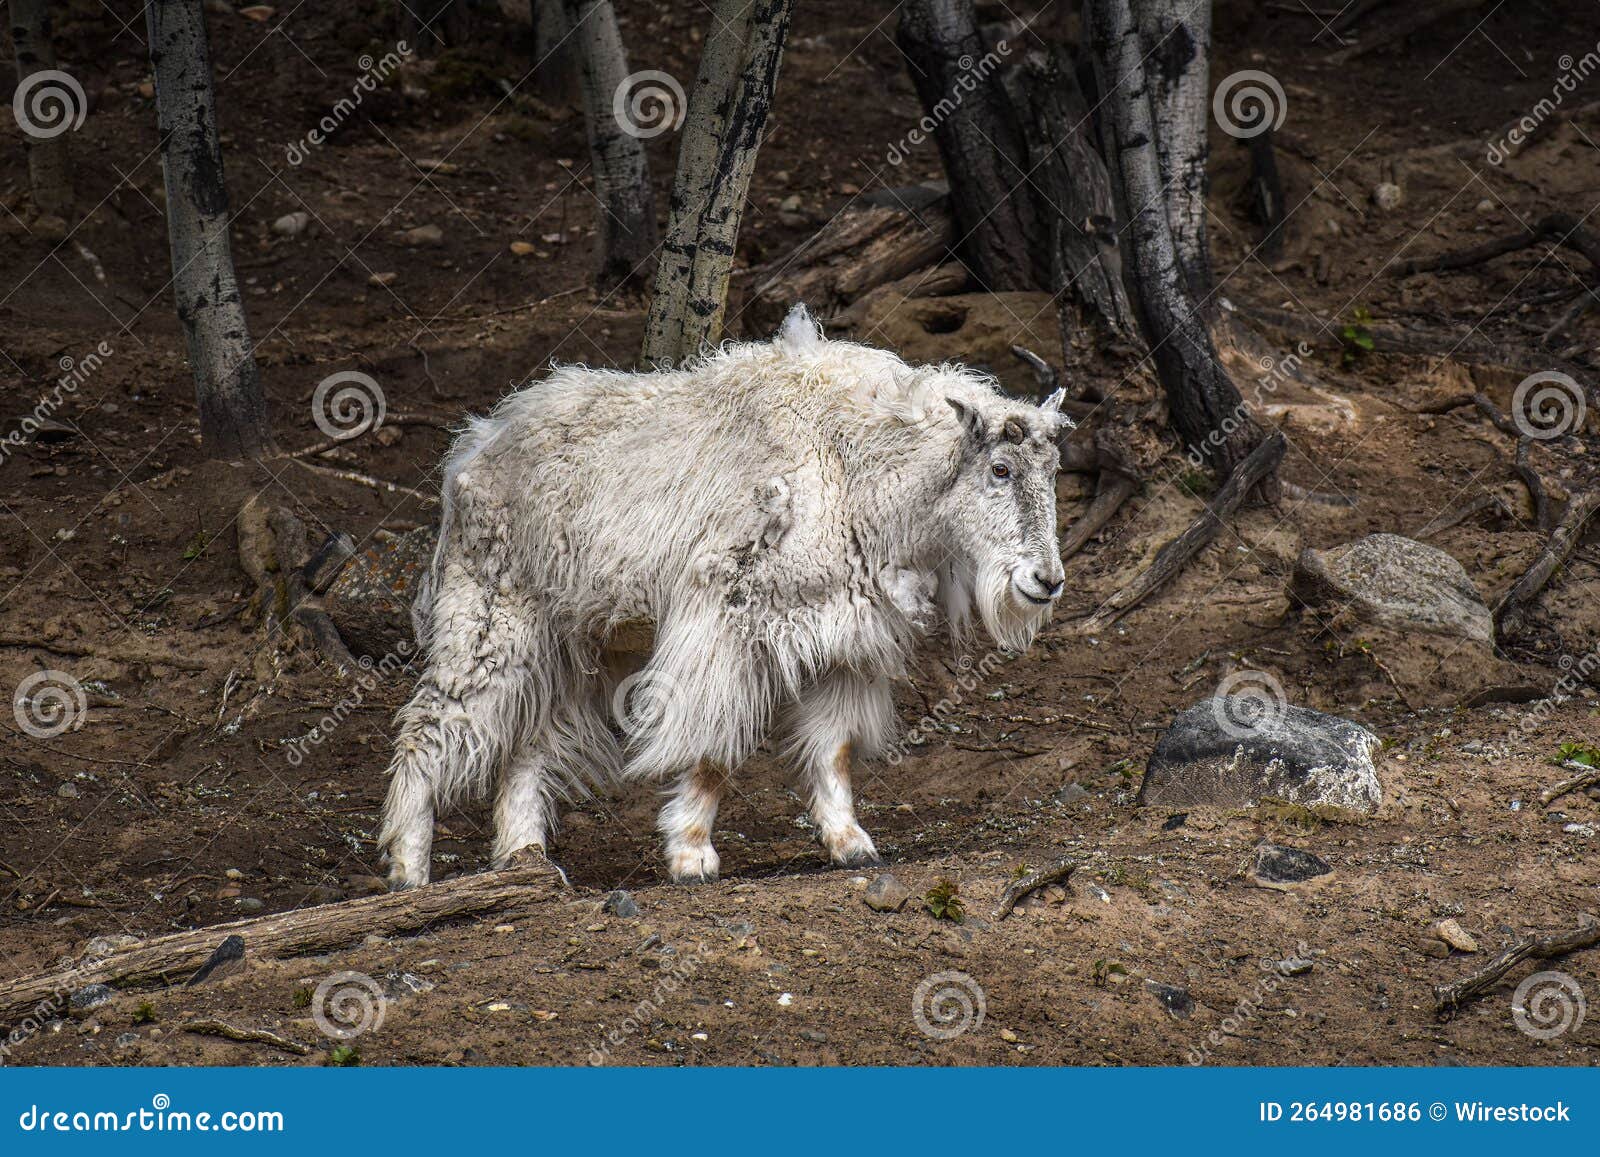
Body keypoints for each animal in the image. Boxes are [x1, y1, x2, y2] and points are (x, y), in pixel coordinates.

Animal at [378, 306, 1068, 887]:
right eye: (1000, 469)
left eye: (1052, 470)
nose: (1048, 581)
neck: (858, 465)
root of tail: (476, 448)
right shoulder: (726, 628)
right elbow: (712, 747)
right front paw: (691, 856)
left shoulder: (847, 641)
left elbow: (837, 750)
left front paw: (852, 844)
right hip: (491, 619)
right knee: (428, 727)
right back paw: (410, 872)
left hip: (578, 640)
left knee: (528, 739)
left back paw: (526, 859)